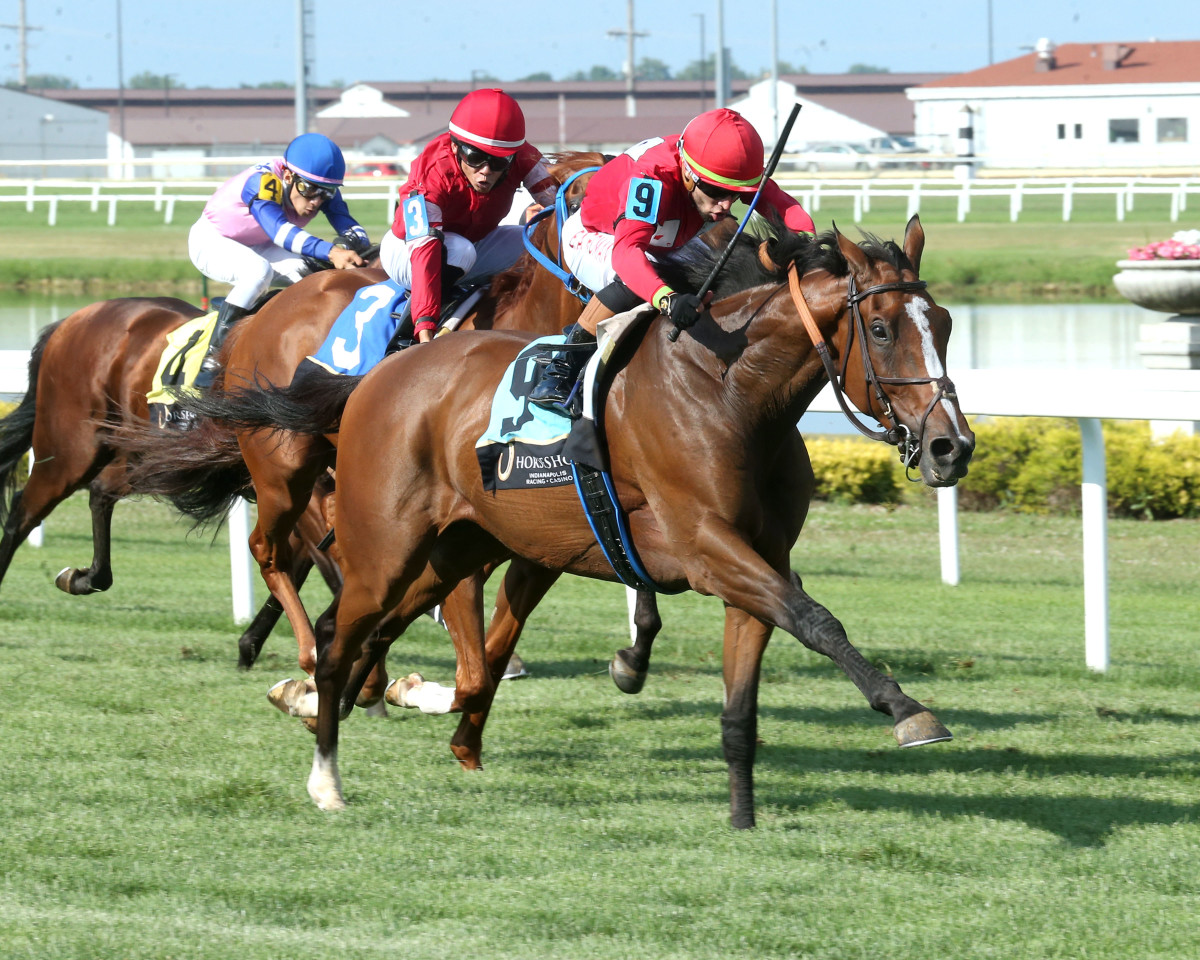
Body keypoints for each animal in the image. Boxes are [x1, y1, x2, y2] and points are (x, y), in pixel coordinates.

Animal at [226, 216, 976, 826]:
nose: (952, 446)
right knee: (338, 632)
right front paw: (907, 710)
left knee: (376, 635)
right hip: (387, 544)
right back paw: (327, 777)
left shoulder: (758, 561)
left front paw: (743, 818)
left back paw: (359, 702)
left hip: (456, 547)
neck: (731, 391)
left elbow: (744, 701)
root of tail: (374, 377)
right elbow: (819, 621)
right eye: (880, 329)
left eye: (941, 323)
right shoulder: (707, 549)